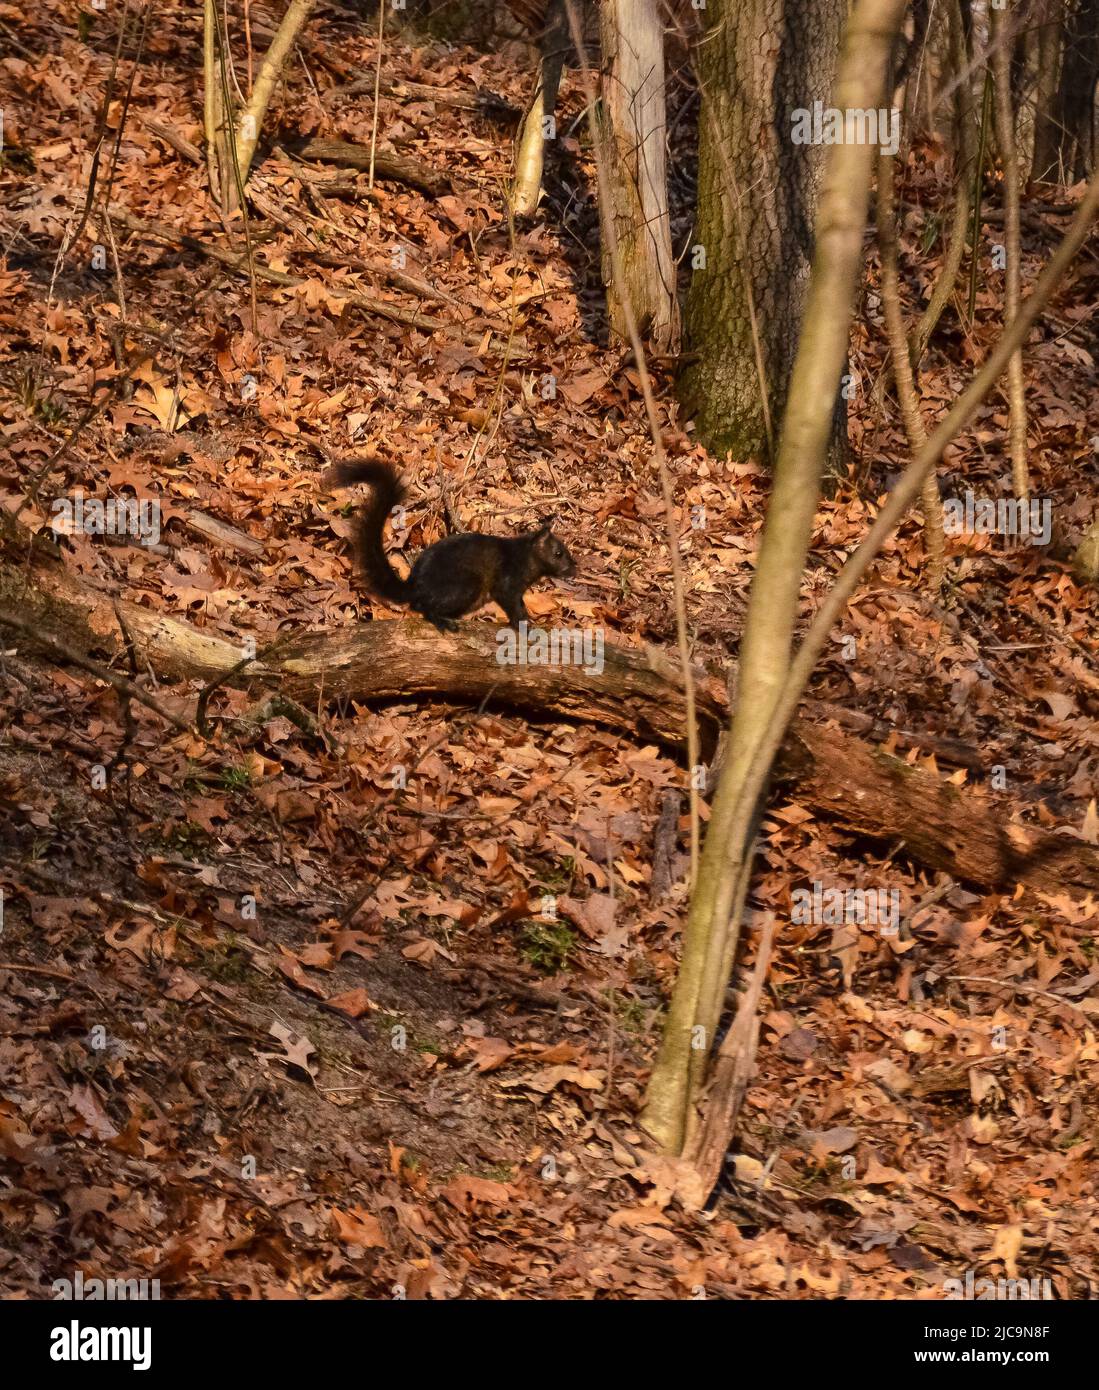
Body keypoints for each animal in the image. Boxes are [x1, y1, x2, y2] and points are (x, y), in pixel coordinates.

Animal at [327, 459, 576, 632]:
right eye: (558, 553)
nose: (575, 568)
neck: (525, 559)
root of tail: (414, 586)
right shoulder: (507, 582)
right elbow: (513, 606)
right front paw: (524, 625)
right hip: (465, 586)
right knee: (423, 607)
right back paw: (445, 623)